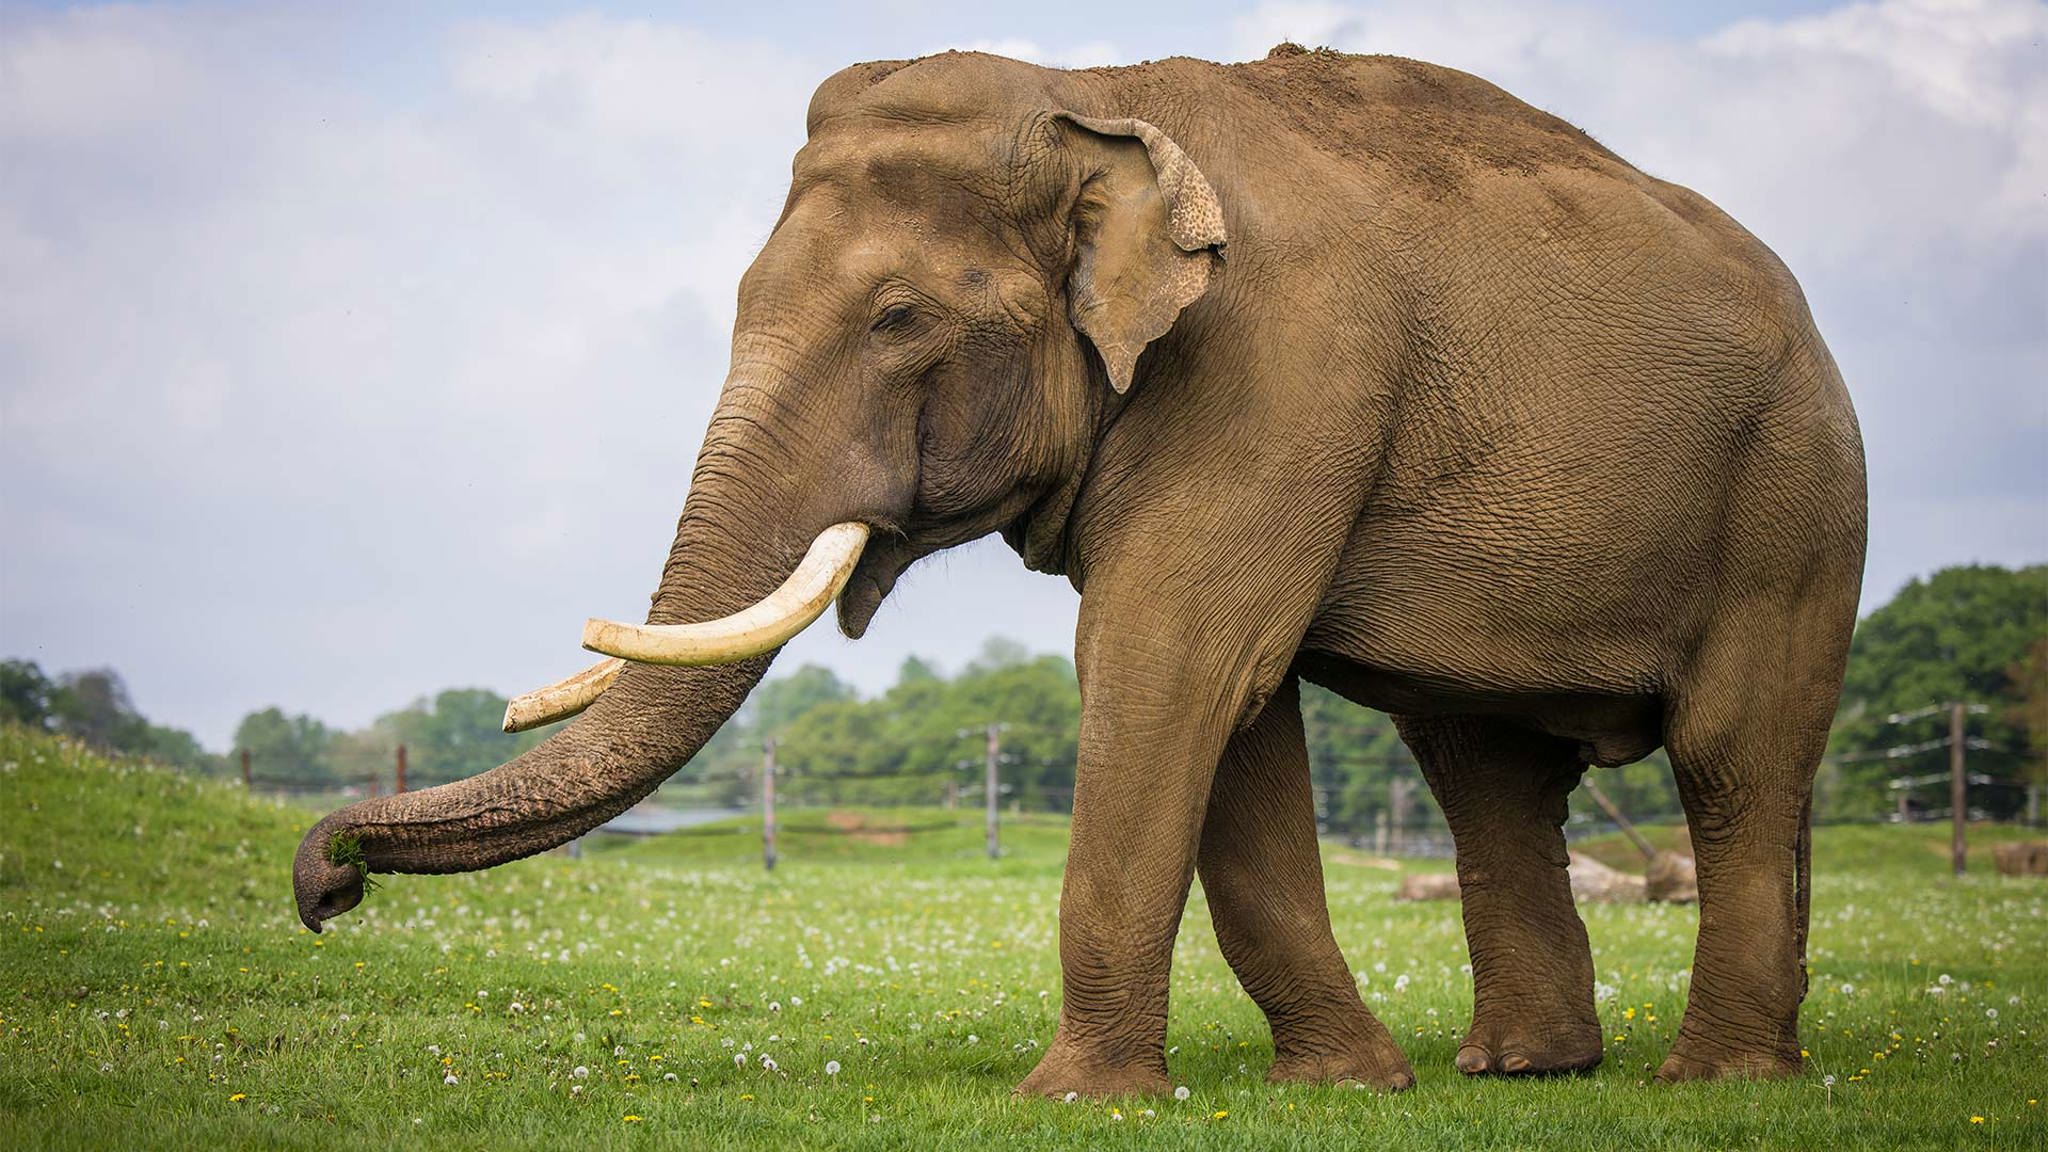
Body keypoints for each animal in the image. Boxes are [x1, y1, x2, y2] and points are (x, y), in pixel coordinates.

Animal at [293, 45, 1867, 1097]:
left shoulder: (1277, 368)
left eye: (898, 319)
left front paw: (1081, 1099)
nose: (324, 884)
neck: (1091, 91)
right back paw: (1525, 1073)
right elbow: (1233, 712)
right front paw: (1344, 1087)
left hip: (1793, 503)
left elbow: (1172, 662)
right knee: (1485, 772)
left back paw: (1716, 1081)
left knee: (1729, 757)